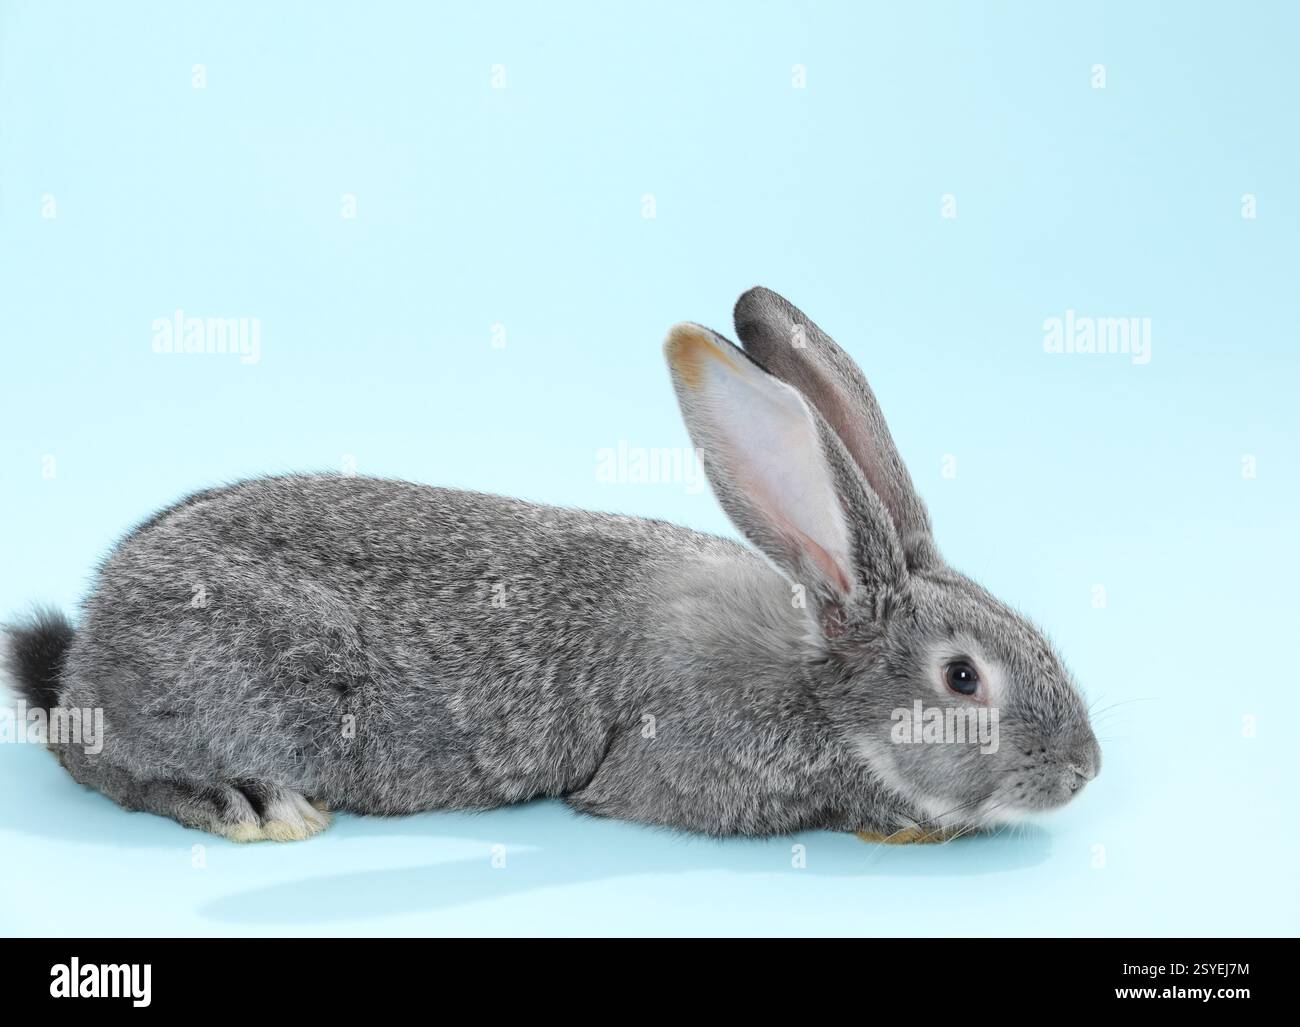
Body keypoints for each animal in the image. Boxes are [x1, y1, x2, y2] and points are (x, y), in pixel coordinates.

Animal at [3, 287, 1099, 843]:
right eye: (962, 677)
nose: (1084, 769)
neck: (819, 685)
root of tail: (86, 652)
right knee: (111, 768)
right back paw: (253, 807)